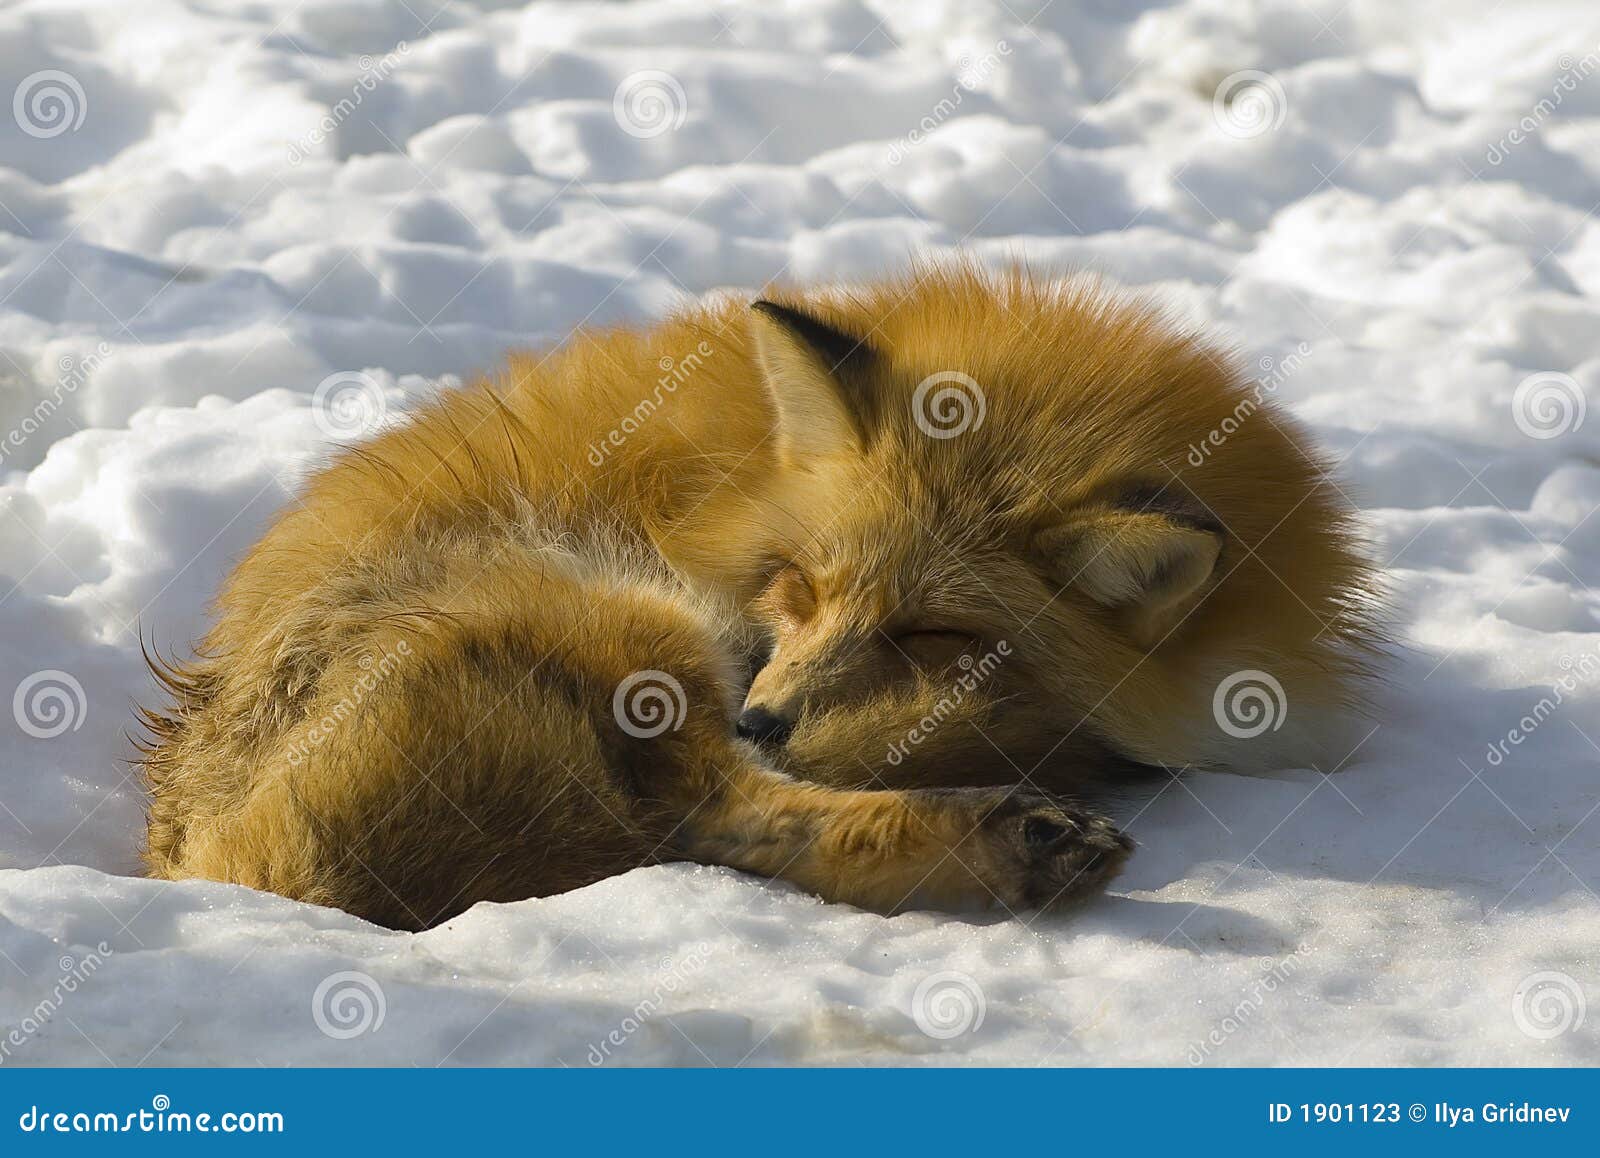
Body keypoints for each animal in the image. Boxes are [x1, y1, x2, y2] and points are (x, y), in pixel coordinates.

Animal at [138, 263, 1379, 931]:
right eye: (801, 586)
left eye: (935, 632)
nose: (765, 716)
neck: (725, 480)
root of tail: (210, 846)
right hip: (640, 627)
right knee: (718, 806)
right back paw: (1005, 839)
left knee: (709, 825)